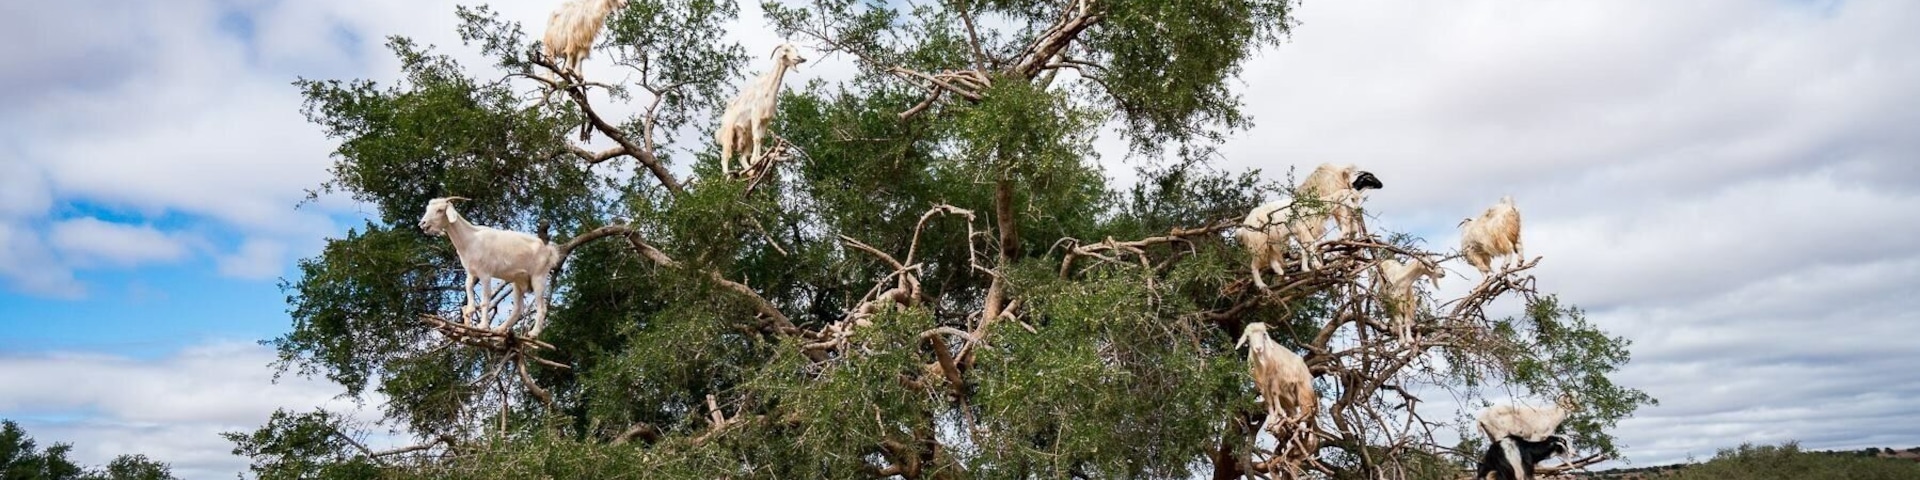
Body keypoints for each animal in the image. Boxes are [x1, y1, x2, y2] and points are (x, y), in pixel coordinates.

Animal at [418, 197, 563, 337]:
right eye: (428, 208)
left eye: (440, 210)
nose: (422, 224)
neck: (470, 240)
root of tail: (550, 250)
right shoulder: (471, 273)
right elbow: (468, 288)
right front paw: (469, 311)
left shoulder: (485, 273)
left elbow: (485, 300)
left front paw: (483, 326)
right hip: (518, 281)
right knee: (518, 309)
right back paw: (499, 329)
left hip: (539, 277)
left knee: (542, 307)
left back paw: (533, 333)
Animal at [717, 44, 807, 177]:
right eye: (786, 50)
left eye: (796, 49)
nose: (800, 58)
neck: (768, 89)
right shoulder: (756, 116)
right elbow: (757, 138)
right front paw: (755, 160)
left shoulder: (766, 120)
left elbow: (761, 138)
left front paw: (757, 159)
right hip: (728, 133)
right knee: (725, 156)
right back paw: (727, 176)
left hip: (745, 135)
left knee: (741, 157)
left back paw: (750, 172)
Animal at [1236, 322, 1319, 467]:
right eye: (1248, 337)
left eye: (1264, 334)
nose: (1258, 348)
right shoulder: (1261, 385)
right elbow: (1269, 400)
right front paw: (1272, 421)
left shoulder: (1275, 380)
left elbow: (1274, 394)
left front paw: (1277, 416)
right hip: (1288, 399)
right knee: (1296, 413)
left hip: (1303, 390)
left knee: (1308, 413)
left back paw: (1309, 440)